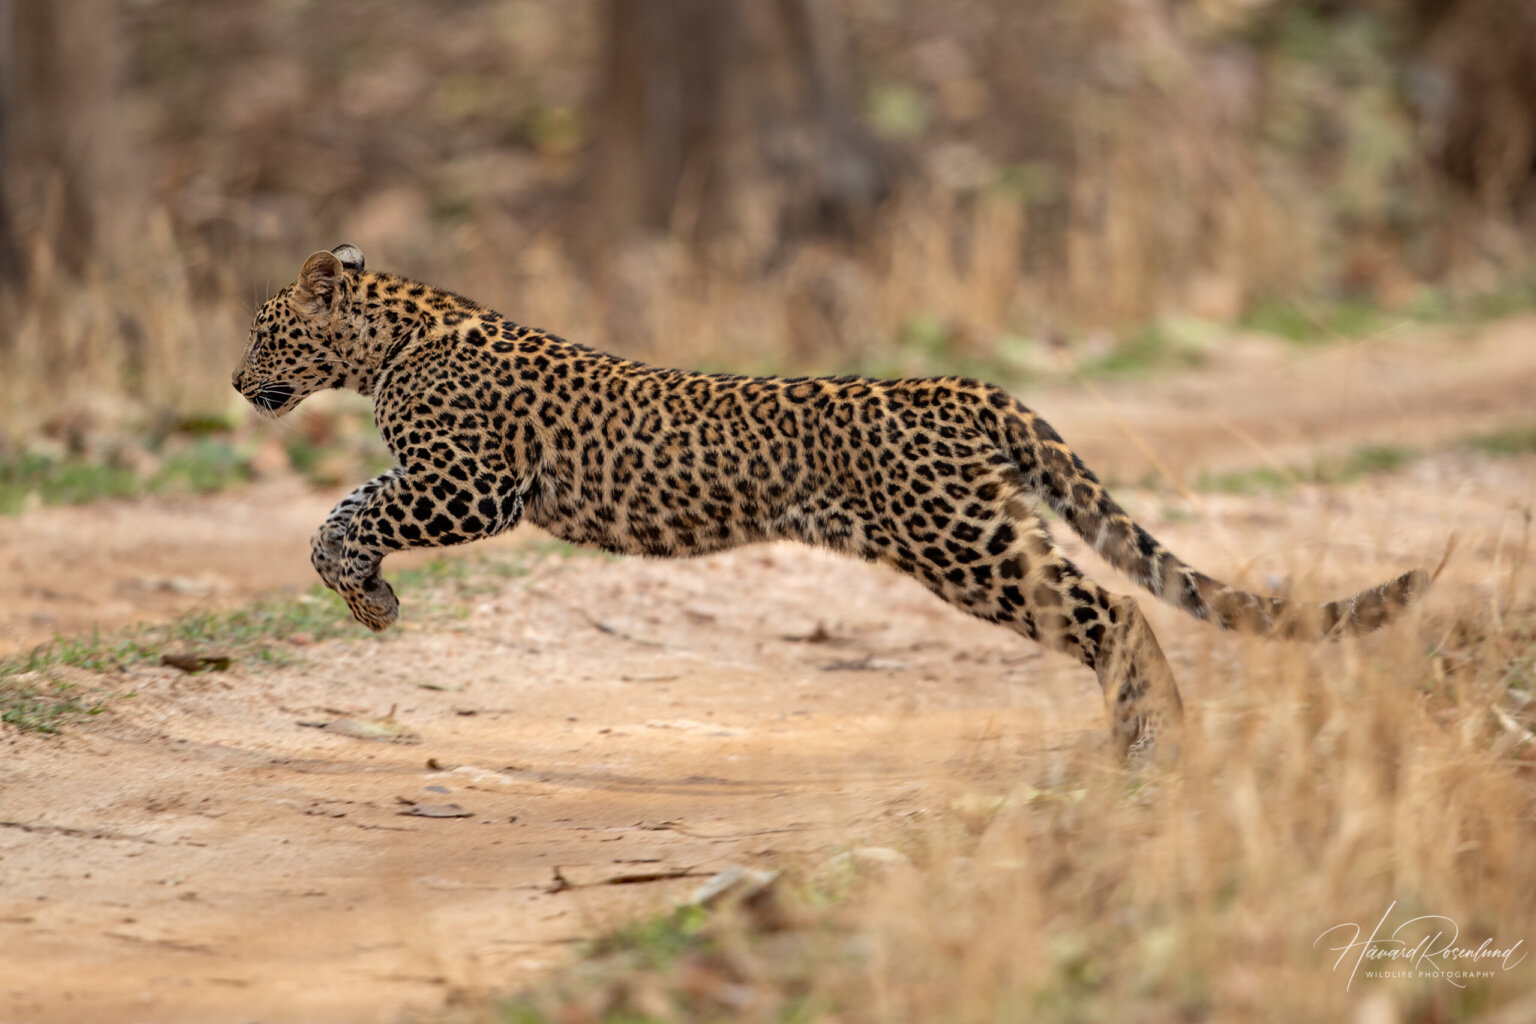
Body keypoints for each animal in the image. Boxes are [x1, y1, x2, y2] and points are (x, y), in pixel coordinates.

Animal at [232, 244, 1429, 760]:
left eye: (263, 332)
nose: (238, 385)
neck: (392, 341)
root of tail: (962, 385)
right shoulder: (437, 480)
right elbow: (349, 503)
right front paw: (375, 600)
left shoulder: (471, 487)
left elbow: (346, 515)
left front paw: (363, 590)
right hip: (989, 528)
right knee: (1118, 600)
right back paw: (1155, 732)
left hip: (964, 543)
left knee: (1114, 607)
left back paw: (1151, 740)